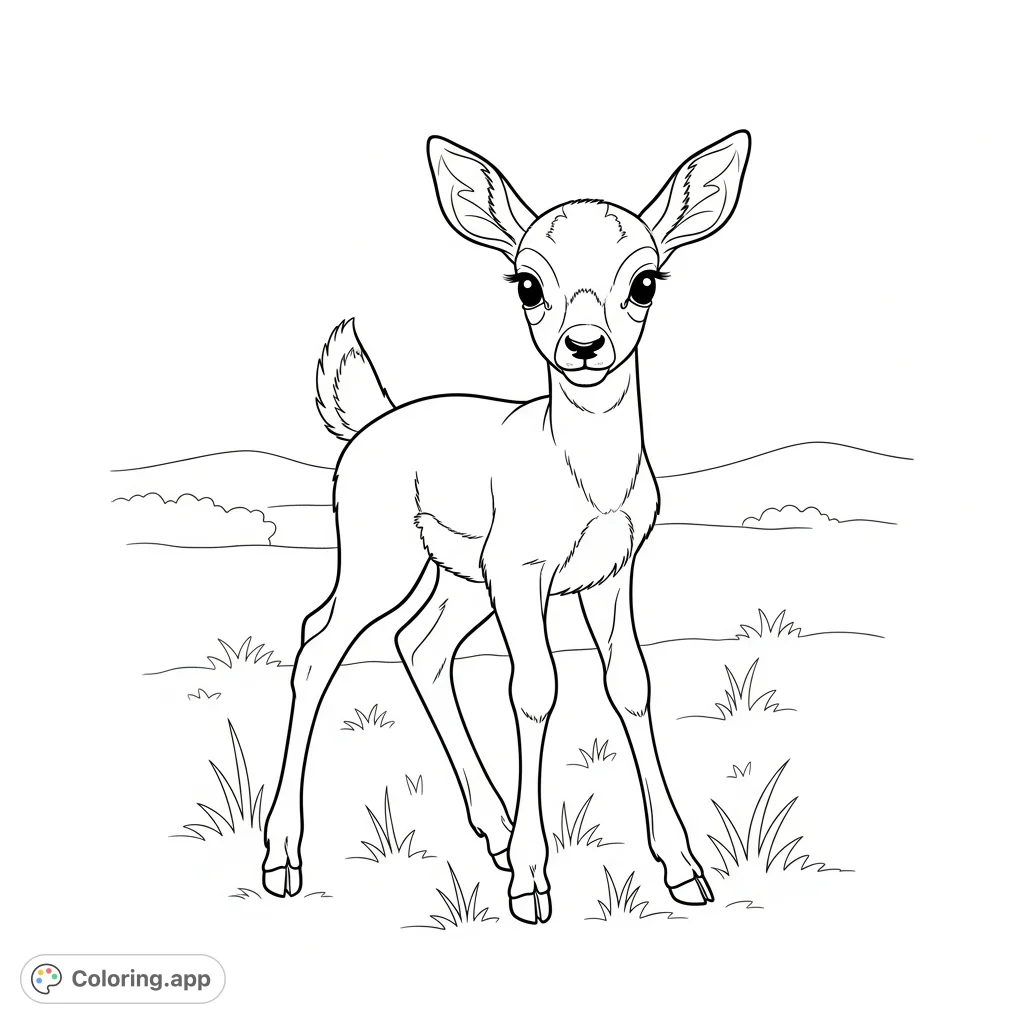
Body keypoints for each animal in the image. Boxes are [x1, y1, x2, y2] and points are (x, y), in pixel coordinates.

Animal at [263, 132, 751, 923]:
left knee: (419, 646)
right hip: (382, 560)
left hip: (460, 578)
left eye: (645, 280)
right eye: (527, 283)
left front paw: (684, 870)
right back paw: (282, 860)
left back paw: (490, 831)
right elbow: (534, 691)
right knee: (316, 643)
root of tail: (370, 421)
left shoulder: (610, 573)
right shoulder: (524, 573)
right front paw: (532, 883)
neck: (586, 481)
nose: (584, 345)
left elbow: (630, 685)